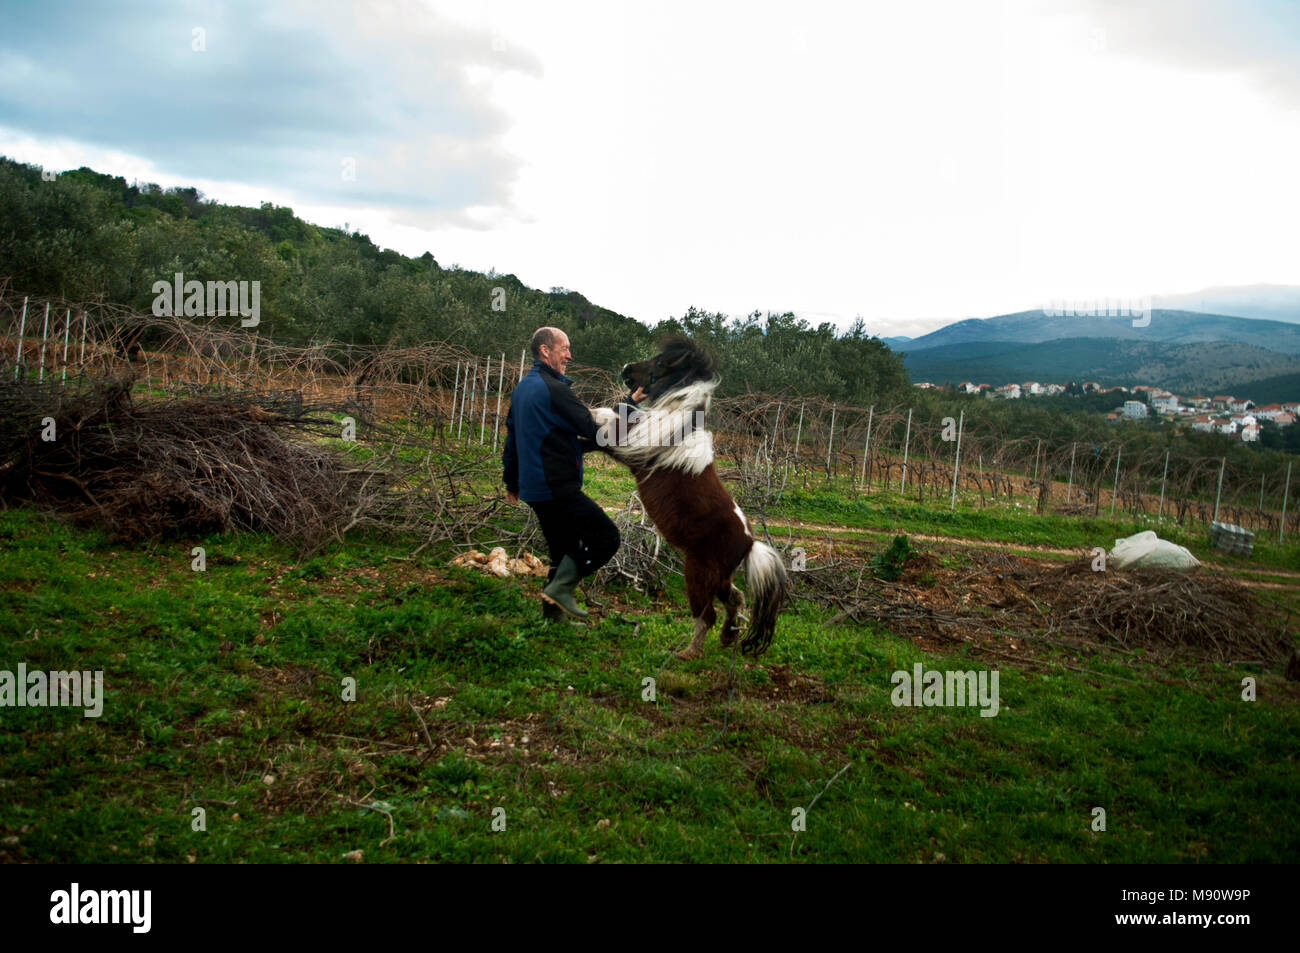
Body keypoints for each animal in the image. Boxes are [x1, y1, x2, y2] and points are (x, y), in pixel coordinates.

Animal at [591, 335, 790, 660]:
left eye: (660, 363)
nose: (626, 369)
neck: (678, 422)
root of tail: (749, 543)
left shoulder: (627, 446)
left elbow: (604, 419)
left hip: (698, 573)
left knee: (706, 615)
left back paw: (690, 653)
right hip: (718, 577)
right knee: (735, 599)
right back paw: (727, 637)